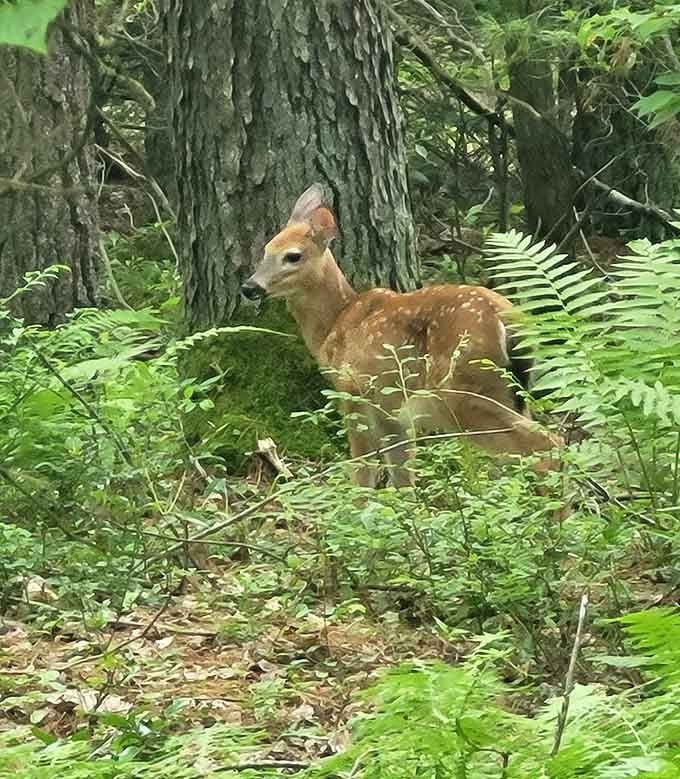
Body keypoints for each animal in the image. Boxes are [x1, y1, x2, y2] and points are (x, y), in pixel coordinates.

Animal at [241, 184, 562, 488]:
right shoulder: (393, 409)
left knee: (548, 446)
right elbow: (402, 474)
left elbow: (363, 469)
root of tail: (507, 320)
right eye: (266, 249)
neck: (336, 322)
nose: (249, 287)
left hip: (464, 390)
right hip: (509, 392)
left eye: (293, 256)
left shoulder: (353, 390)